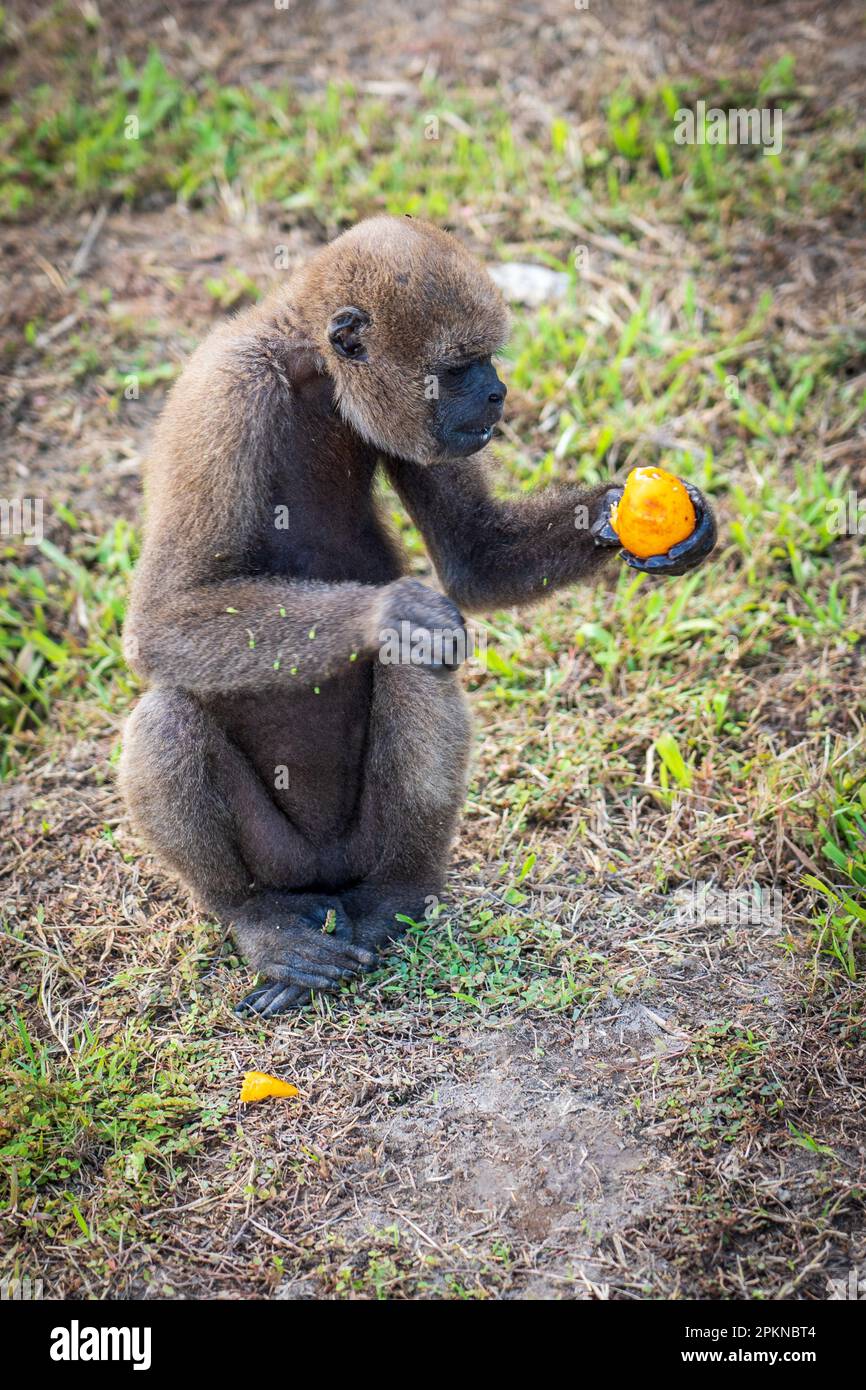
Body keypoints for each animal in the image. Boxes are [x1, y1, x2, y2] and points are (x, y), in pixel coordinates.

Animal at [119, 215, 716, 1017]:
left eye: (486, 363)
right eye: (461, 367)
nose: (497, 393)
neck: (312, 371)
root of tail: (327, 873)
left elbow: (476, 556)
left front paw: (641, 520)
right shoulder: (228, 395)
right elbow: (161, 618)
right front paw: (395, 609)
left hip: (360, 849)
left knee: (415, 677)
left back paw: (395, 897)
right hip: (284, 859)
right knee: (169, 719)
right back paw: (257, 917)